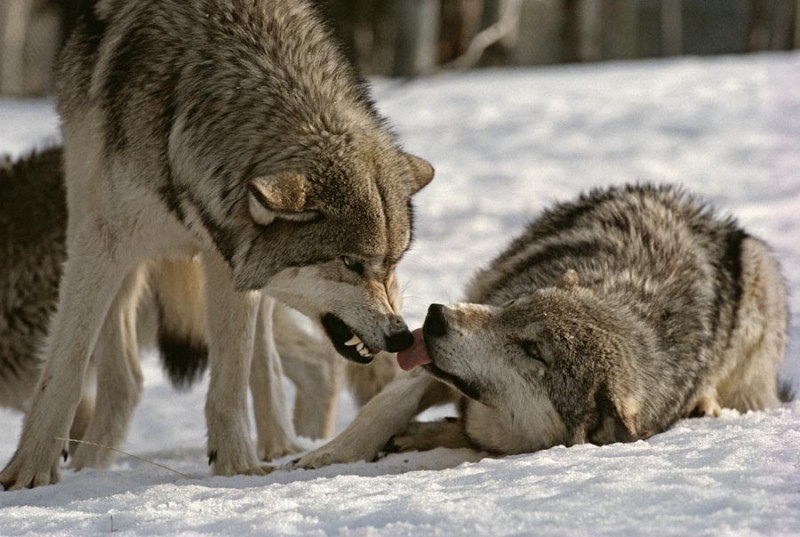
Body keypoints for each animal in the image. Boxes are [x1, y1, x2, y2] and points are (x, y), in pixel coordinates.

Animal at [1, 0, 432, 490]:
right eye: (350, 262)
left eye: (393, 263)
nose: (400, 335)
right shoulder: (99, 244)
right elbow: (65, 370)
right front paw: (29, 471)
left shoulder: (227, 260)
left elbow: (232, 377)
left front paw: (238, 467)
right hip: (120, 256)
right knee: (125, 378)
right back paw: (92, 467)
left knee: (274, 365)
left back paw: (282, 446)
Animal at [292, 183, 788, 469]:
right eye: (511, 307)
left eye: (534, 351)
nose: (436, 316)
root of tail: (702, 213)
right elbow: (382, 409)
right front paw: (325, 458)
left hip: (759, 272)